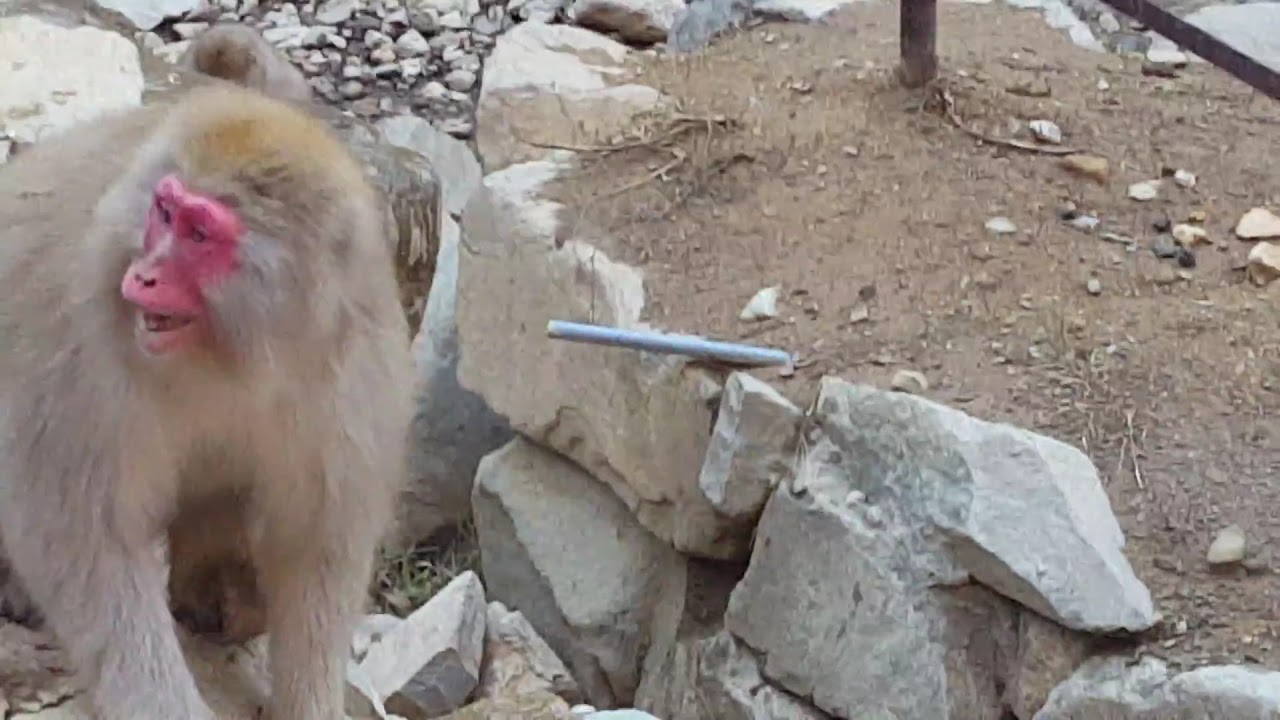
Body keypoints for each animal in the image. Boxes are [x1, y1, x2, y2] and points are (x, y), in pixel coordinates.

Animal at [0, 77, 413, 720]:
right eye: (165, 212)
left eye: (199, 235)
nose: (143, 276)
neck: (230, 356)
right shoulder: (73, 354)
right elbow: (86, 540)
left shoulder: (354, 376)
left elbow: (317, 541)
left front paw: (311, 700)